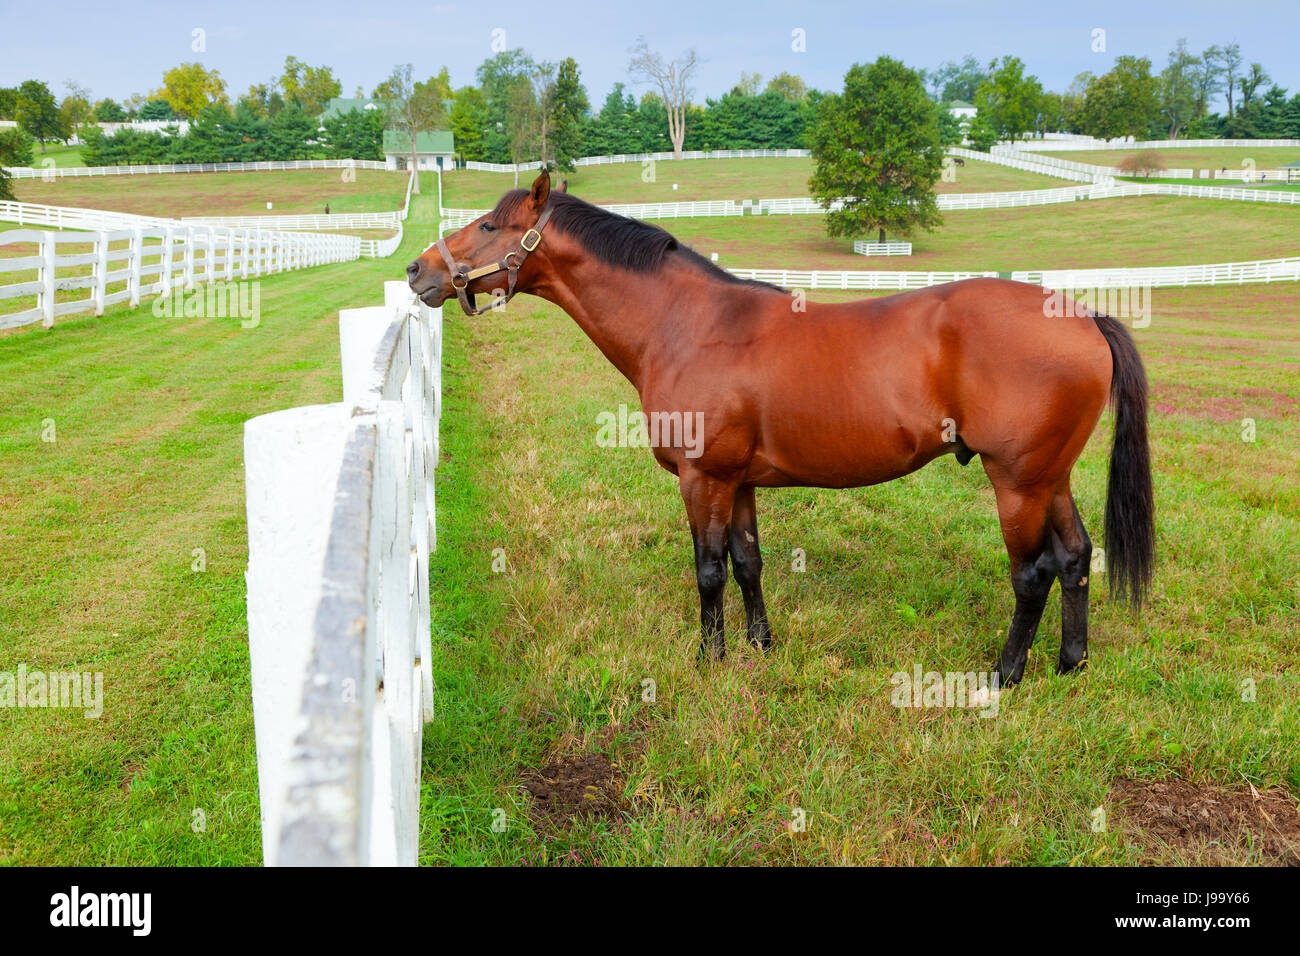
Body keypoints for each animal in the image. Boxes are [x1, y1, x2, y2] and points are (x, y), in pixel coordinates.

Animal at [407, 171, 1154, 683]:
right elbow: (747, 563)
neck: (687, 325)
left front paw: (708, 658)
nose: (418, 270)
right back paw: (1070, 661)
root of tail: (1084, 316)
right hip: (1050, 477)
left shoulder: (702, 478)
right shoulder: (737, 480)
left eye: (490, 227)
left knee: (1034, 573)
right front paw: (760, 645)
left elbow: (708, 570)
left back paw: (1005, 675)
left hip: (1018, 483)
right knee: (1076, 557)